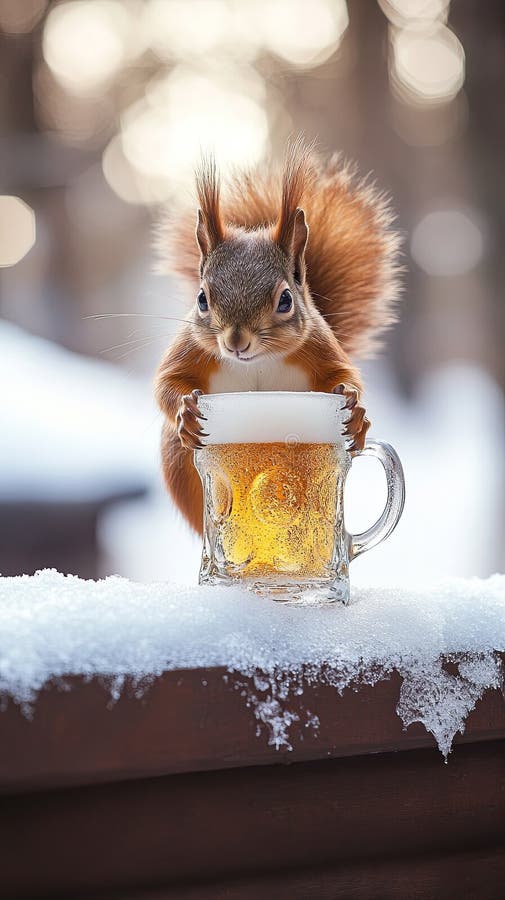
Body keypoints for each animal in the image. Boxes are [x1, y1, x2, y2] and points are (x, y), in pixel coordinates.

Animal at [155, 138, 401, 535]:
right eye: (202, 298)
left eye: (285, 300)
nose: (236, 342)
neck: (257, 362)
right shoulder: (189, 349)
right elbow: (166, 383)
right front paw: (186, 413)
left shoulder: (319, 345)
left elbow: (345, 376)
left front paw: (355, 410)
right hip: (180, 465)